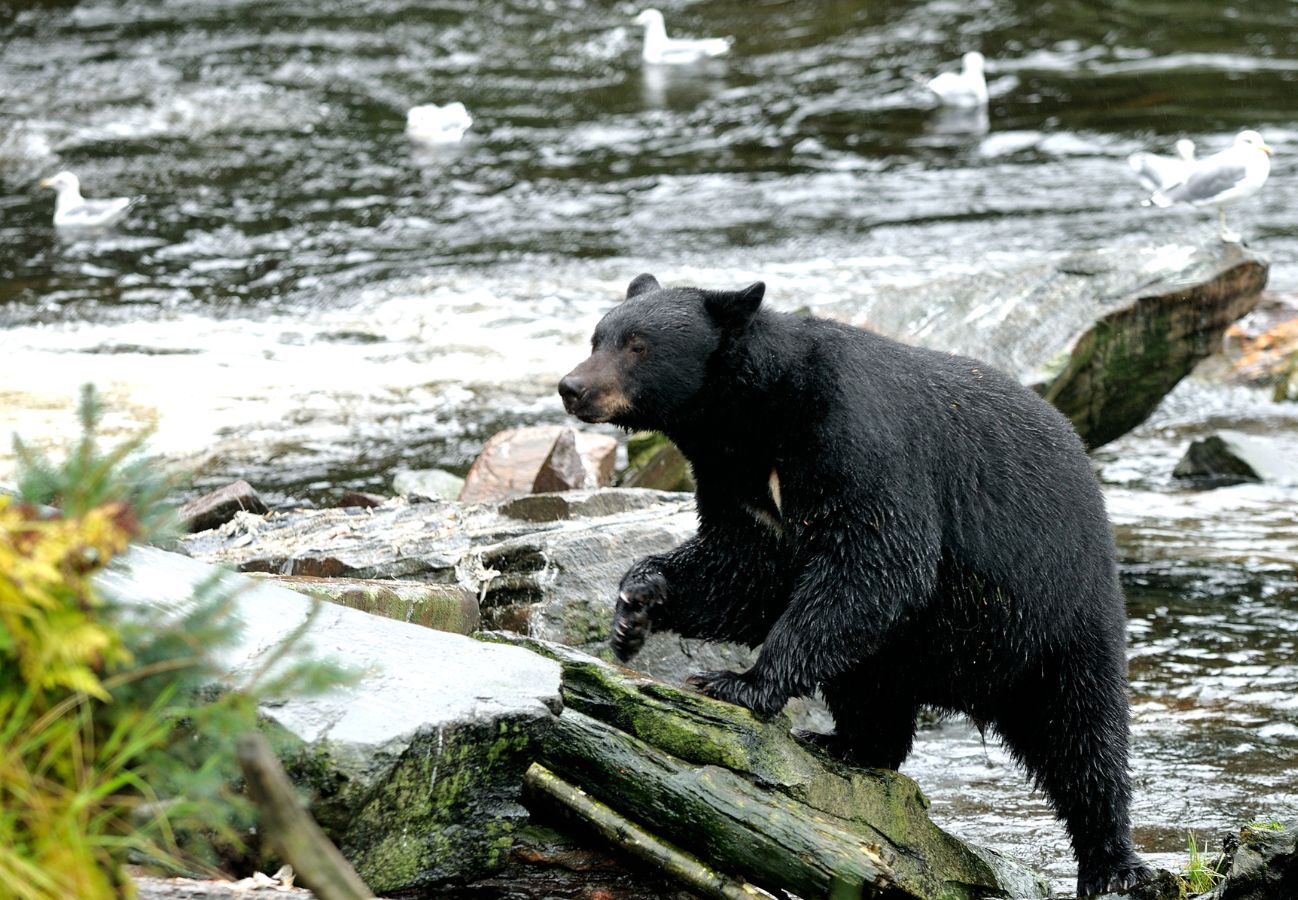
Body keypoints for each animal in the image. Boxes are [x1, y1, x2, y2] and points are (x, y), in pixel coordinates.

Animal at [557, 274, 1155, 897]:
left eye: (638, 345)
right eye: (598, 336)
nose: (571, 387)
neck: (756, 418)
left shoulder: (855, 441)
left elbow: (877, 561)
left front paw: (738, 681)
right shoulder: (739, 482)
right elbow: (741, 568)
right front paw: (636, 605)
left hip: (1057, 613)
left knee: (1082, 733)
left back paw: (1113, 864)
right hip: (913, 653)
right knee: (871, 689)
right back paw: (847, 744)